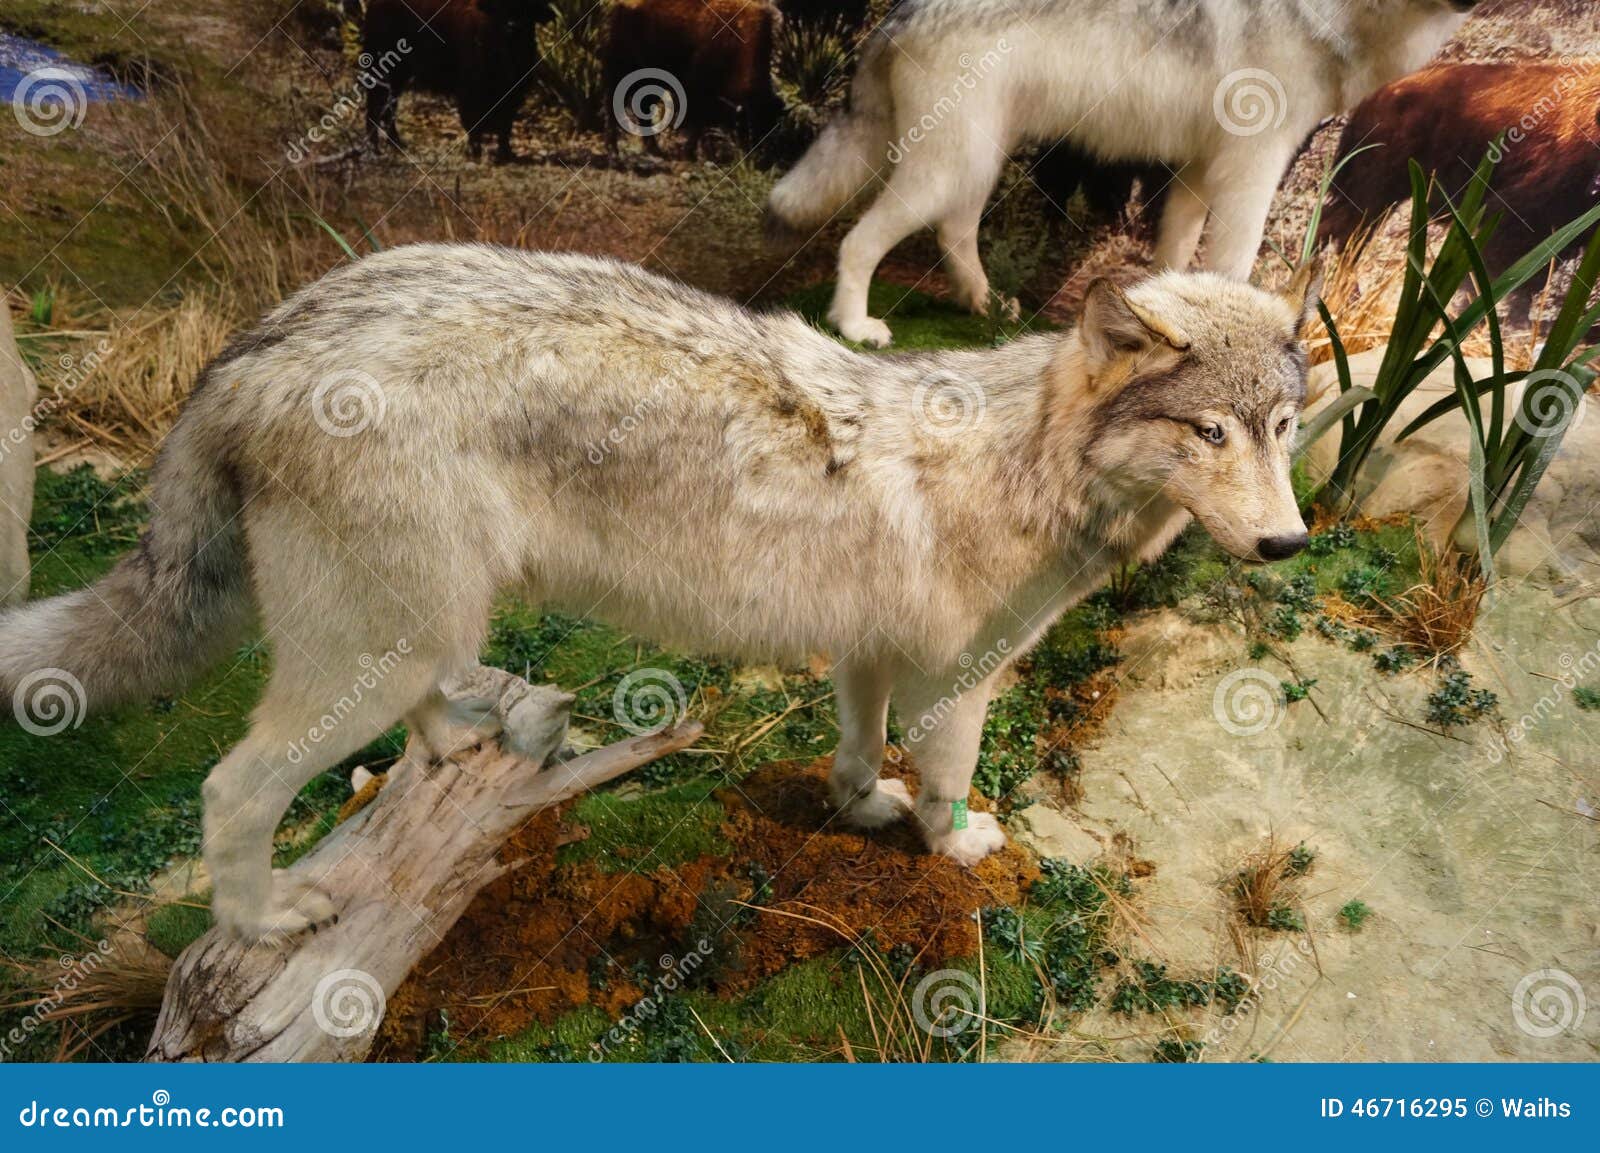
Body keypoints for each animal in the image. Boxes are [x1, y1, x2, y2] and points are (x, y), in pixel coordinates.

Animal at [0, 245, 1319, 942]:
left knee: (414, 713)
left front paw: (861, 813)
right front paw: (951, 848)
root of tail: (266, 333)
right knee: (233, 788)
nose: (1287, 543)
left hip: (416, 632)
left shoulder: (866, 657)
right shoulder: (956, 683)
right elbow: (945, 783)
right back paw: (263, 919)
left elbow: (855, 756)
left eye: (1282, 428)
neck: (1028, 461)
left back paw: (455, 740)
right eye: (1206, 432)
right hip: (367, 658)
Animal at [766, 0, 1478, 347]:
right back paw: (855, 326)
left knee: (954, 233)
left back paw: (985, 305)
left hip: (973, 164)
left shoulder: (1196, 172)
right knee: (859, 241)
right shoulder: (1252, 169)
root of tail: (895, 15)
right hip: (946, 168)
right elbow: (1235, 266)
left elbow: (1176, 264)